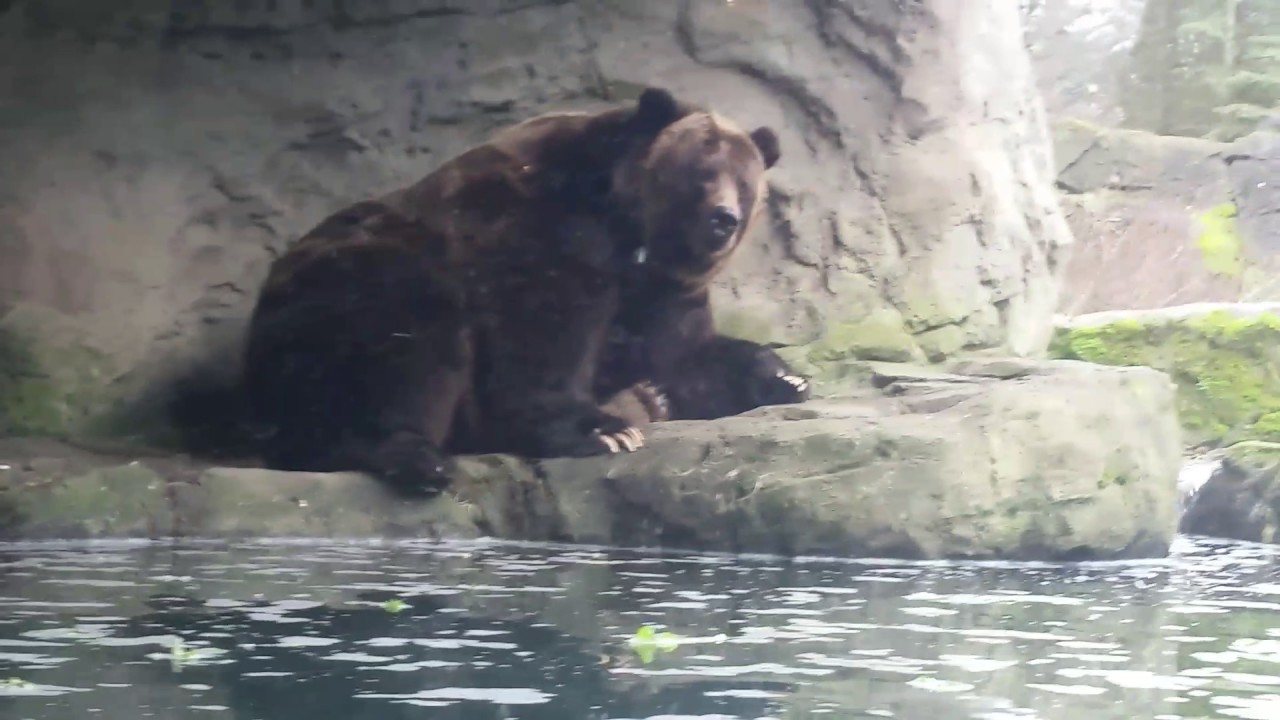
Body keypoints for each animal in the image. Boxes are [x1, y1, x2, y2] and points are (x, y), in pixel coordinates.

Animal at [242, 87, 706, 496]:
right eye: (703, 174)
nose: (720, 221)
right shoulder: (527, 230)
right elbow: (540, 334)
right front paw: (607, 431)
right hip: (337, 297)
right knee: (402, 334)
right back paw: (411, 455)